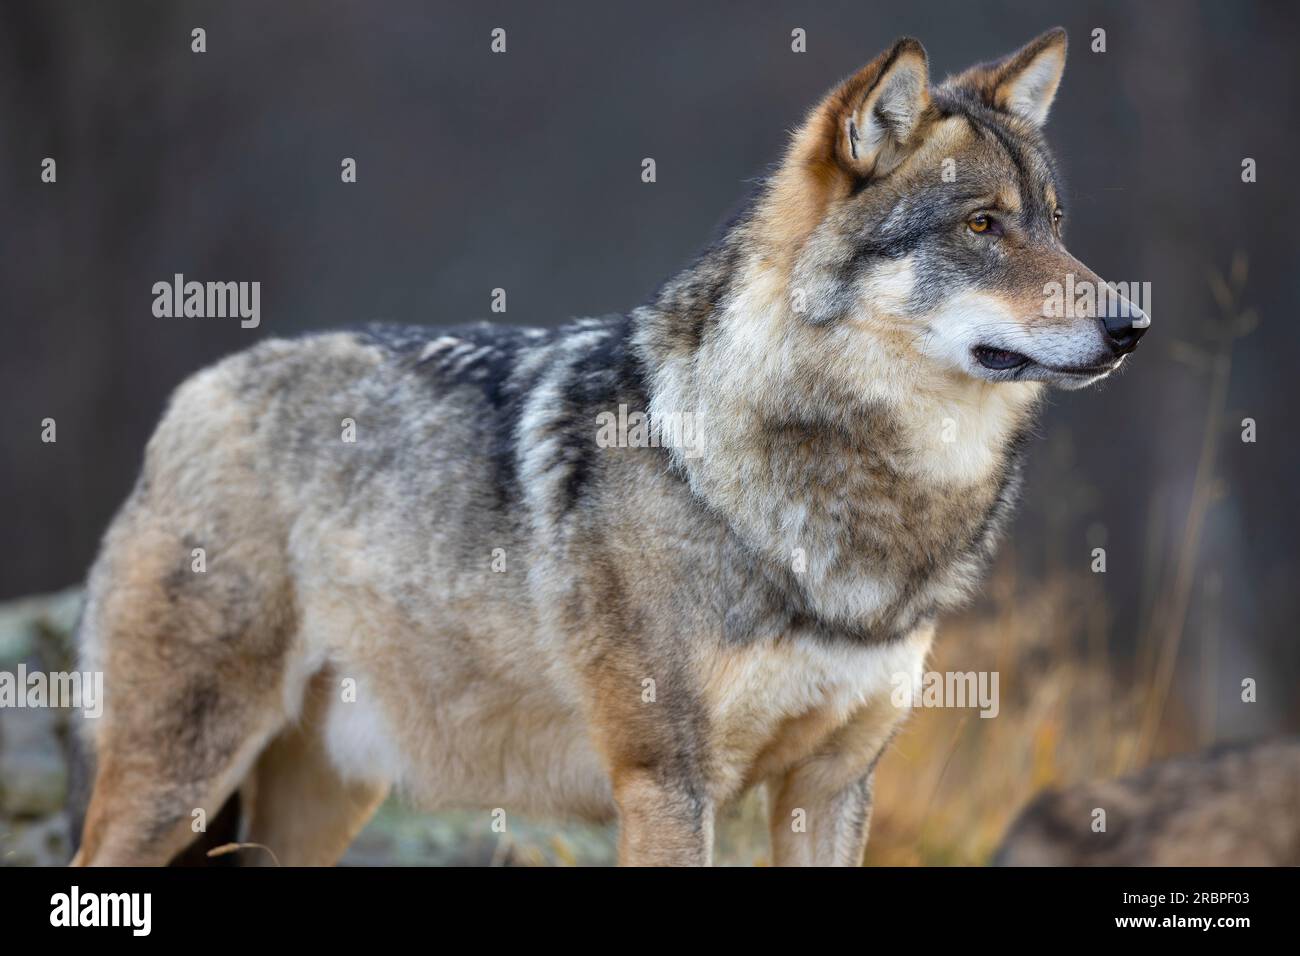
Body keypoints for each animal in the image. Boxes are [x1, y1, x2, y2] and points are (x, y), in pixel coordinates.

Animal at [72, 28, 1146, 866]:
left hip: (315, 800)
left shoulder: (830, 789)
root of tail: (195, 393)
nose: (1132, 324)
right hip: (177, 784)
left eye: (1056, 223)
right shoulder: (666, 784)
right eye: (982, 224)